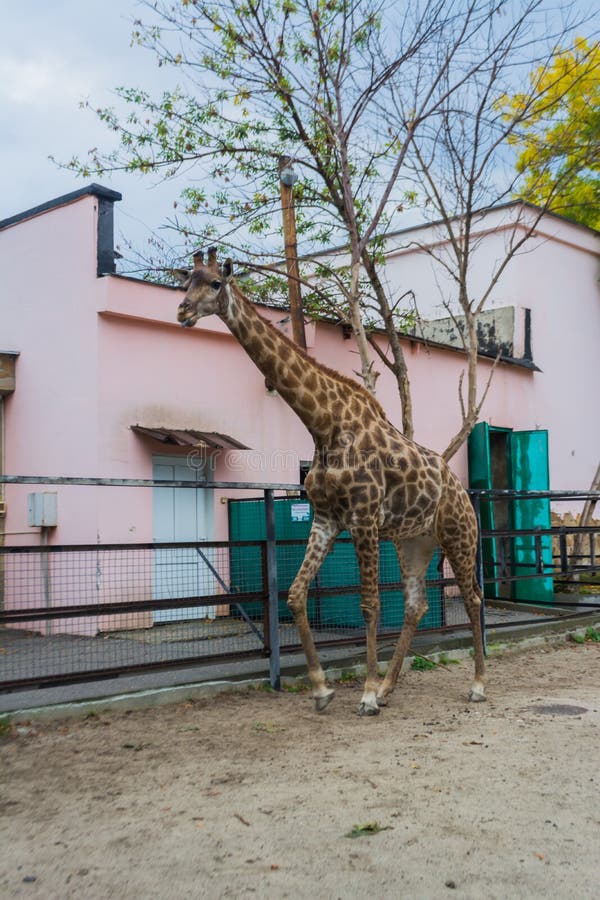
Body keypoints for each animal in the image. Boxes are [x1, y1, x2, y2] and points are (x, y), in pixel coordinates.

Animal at [176, 248, 486, 716]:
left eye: (214, 283)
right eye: (186, 281)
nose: (183, 311)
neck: (324, 425)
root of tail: (459, 489)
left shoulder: (363, 519)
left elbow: (370, 605)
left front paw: (366, 695)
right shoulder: (325, 518)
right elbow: (294, 594)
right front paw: (323, 689)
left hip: (458, 535)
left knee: (472, 597)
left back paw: (477, 685)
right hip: (414, 541)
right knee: (416, 605)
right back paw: (391, 687)